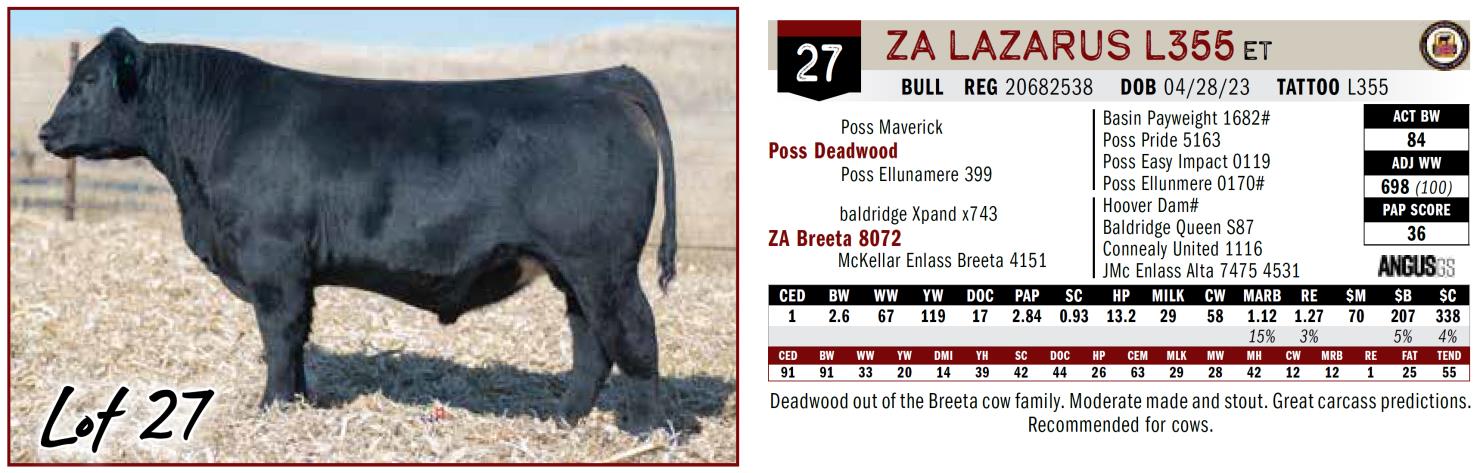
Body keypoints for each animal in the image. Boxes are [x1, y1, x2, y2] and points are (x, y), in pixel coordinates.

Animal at [38, 28, 677, 428]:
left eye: (87, 80)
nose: (45, 132)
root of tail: (605, 78)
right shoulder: (292, 270)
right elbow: (297, 339)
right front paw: (300, 401)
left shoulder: (272, 259)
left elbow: (278, 335)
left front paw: (271, 407)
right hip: (575, 272)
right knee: (591, 344)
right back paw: (564, 419)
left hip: (604, 266)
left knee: (635, 335)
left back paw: (643, 430)